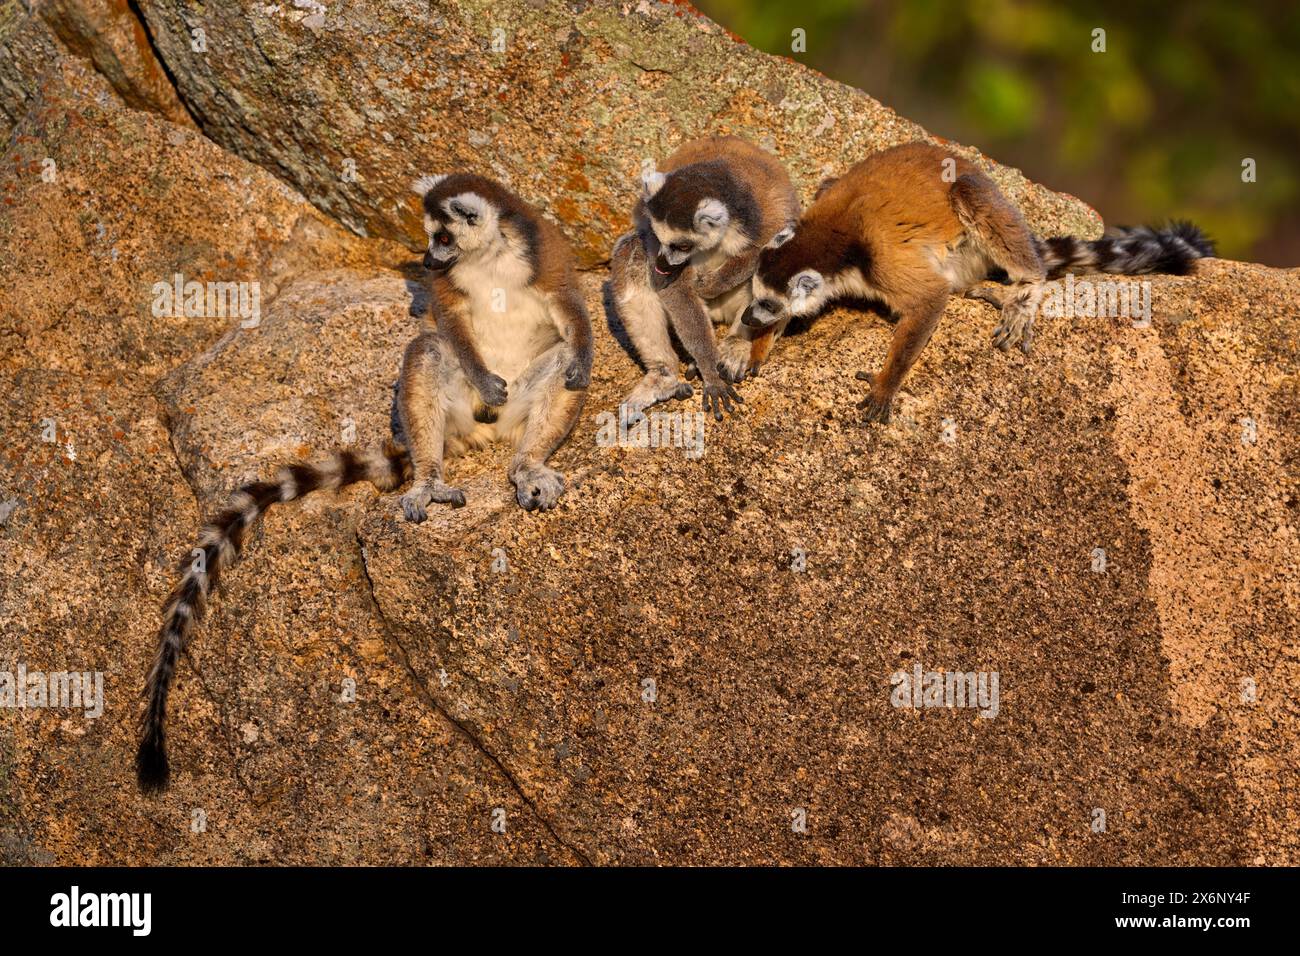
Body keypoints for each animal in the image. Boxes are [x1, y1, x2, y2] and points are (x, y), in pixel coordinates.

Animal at [136, 172, 592, 793]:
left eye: (441, 235)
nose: (426, 258)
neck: (489, 256)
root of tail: (481, 436)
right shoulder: (450, 292)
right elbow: (449, 324)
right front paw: (478, 371)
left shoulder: (544, 252)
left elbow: (571, 314)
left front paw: (585, 354)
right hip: (457, 411)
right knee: (426, 350)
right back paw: (428, 479)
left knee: (558, 362)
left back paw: (528, 465)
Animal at [605, 135, 801, 421]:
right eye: (662, 240)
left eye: (683, 245)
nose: (662, 266)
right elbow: (677, 290)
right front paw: (710, 372)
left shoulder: (764, 217)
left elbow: (761, 252)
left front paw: (709, 286)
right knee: (631, 252)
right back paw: (664, 375)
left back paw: (736, 345)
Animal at [742, 141, 1213, 423]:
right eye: (756, 296)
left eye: (770, 304)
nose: (748, 319)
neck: (833, 240)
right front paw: (756, 351)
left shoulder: (884, 261)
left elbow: (928, 300)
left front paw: (886, 384)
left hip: (982, 218)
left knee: (971, 200)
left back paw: (1023, 288)